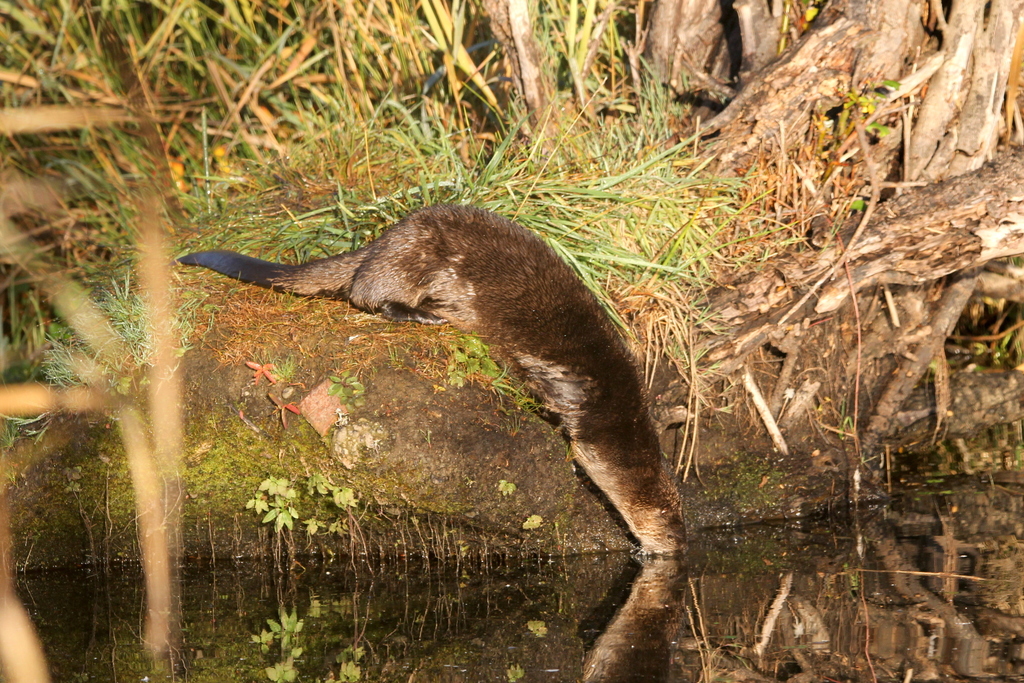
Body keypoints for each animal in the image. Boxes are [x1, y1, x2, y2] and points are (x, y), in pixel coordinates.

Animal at [178, 204, 685, 554]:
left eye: (682, 518)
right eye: (668, 520)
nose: (678, 548)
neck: (611, 403)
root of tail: (381, 242)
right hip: (410, 261)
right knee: (365, 294)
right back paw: (423, 314)